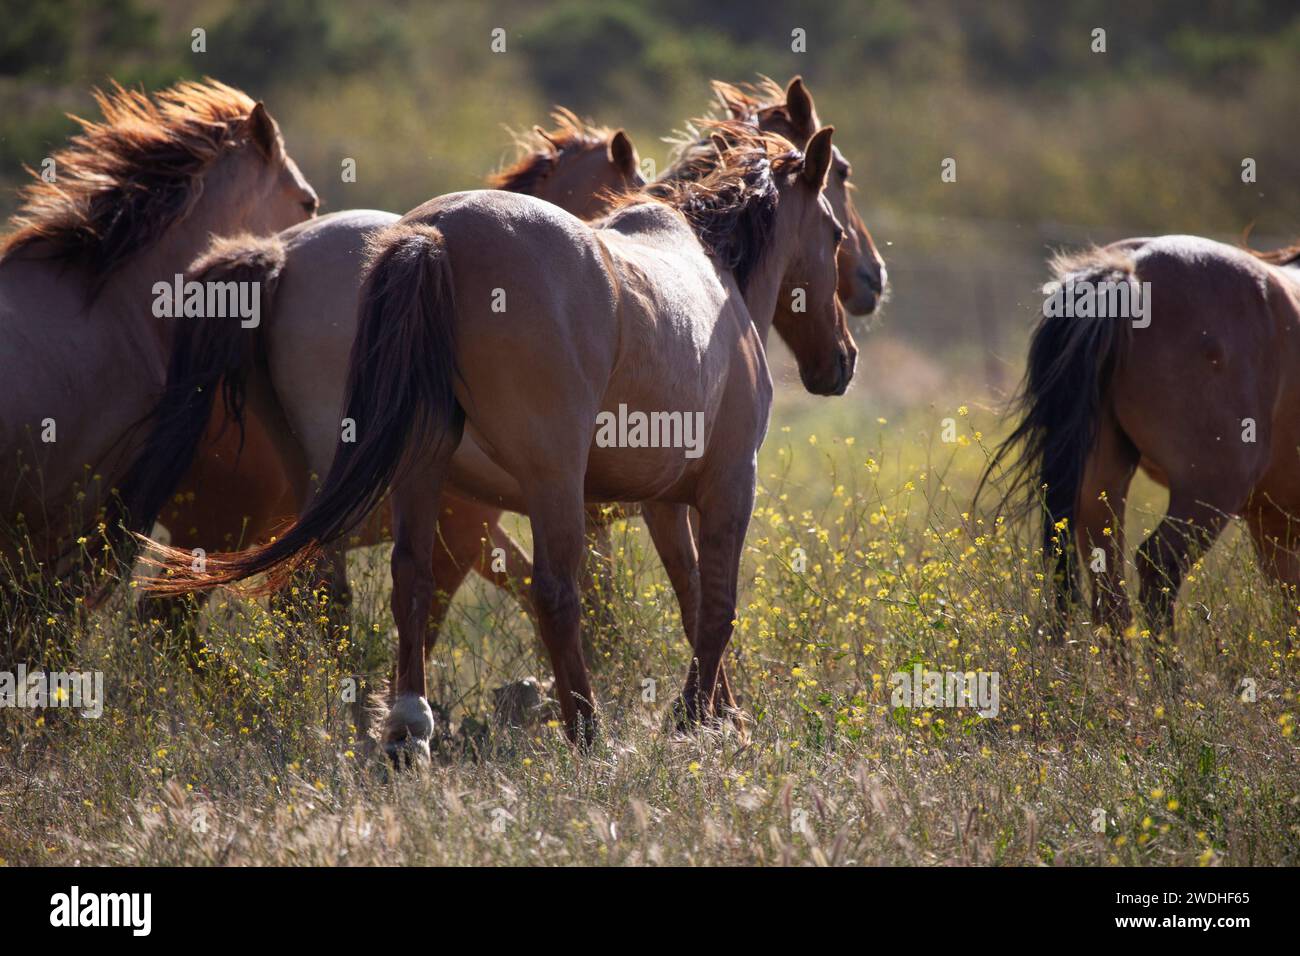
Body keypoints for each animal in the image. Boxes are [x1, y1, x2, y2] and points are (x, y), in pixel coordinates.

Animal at [140, 122, 855, 760]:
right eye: (837, 232)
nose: (841, 360)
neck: (717, 276)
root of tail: (434, 237)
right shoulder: (729, 486)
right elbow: (717, 605)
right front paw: (699, 720)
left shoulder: (664, 504)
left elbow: (691, 596)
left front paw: (717, 714)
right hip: (548, 484)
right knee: (553, 596)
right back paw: (587, 735)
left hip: (417, 473)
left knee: (410, 581)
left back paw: (405, 730)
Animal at [983, 235, 1300, 639]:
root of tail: (1130, 267)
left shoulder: (1274, 527)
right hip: (1210, 488)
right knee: (1156, 568)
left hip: (1101, 483)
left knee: (1110, 597)